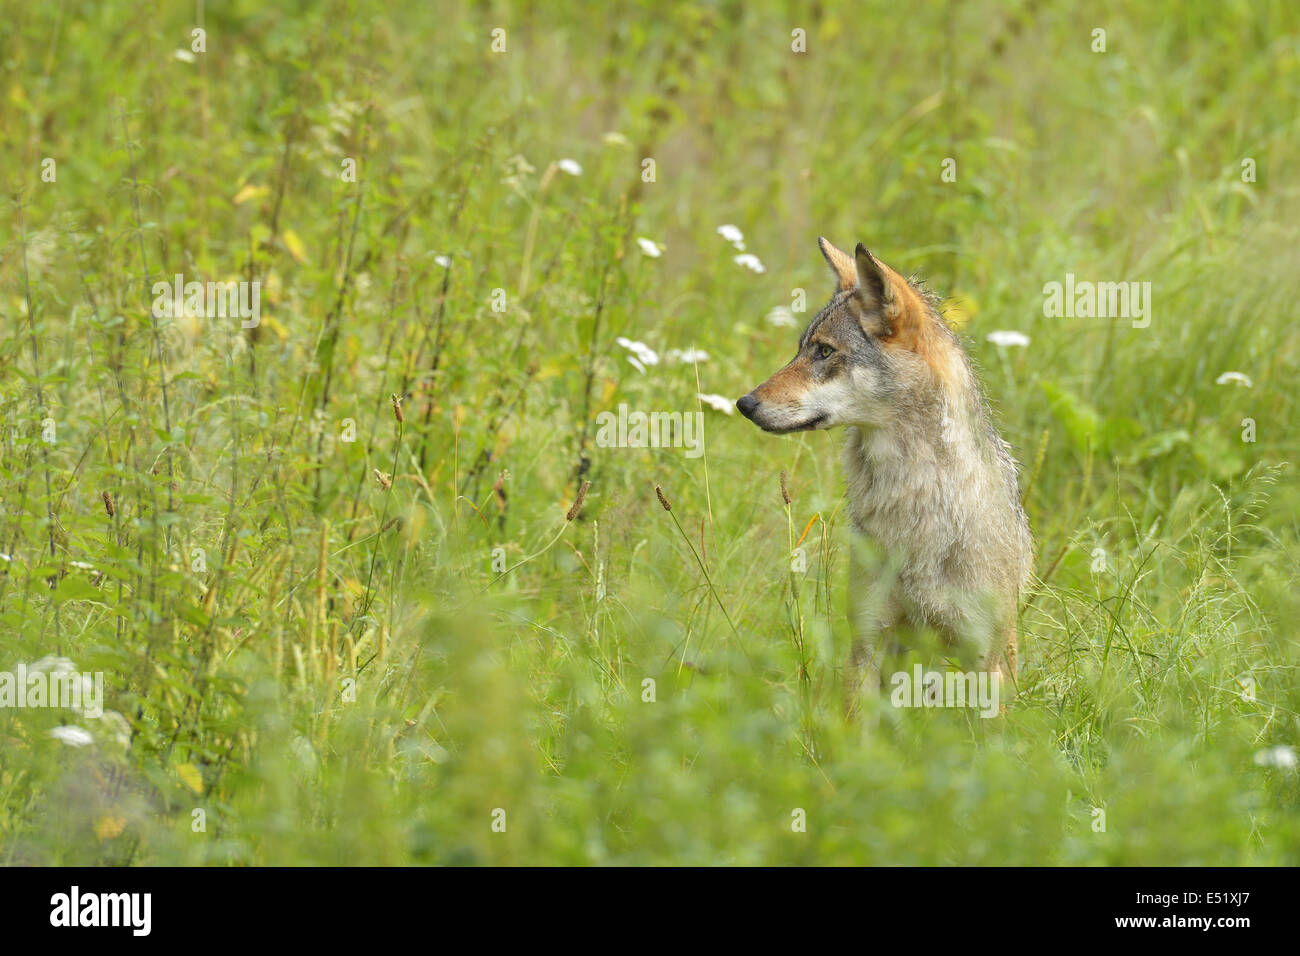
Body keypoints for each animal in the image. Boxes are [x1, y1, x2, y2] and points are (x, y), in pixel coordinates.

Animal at [736, 237, 1033, 714]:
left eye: (824, 351)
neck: (916, 503)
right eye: (800, 349)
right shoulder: (869, 639)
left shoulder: (984, 658)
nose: (744, 403)